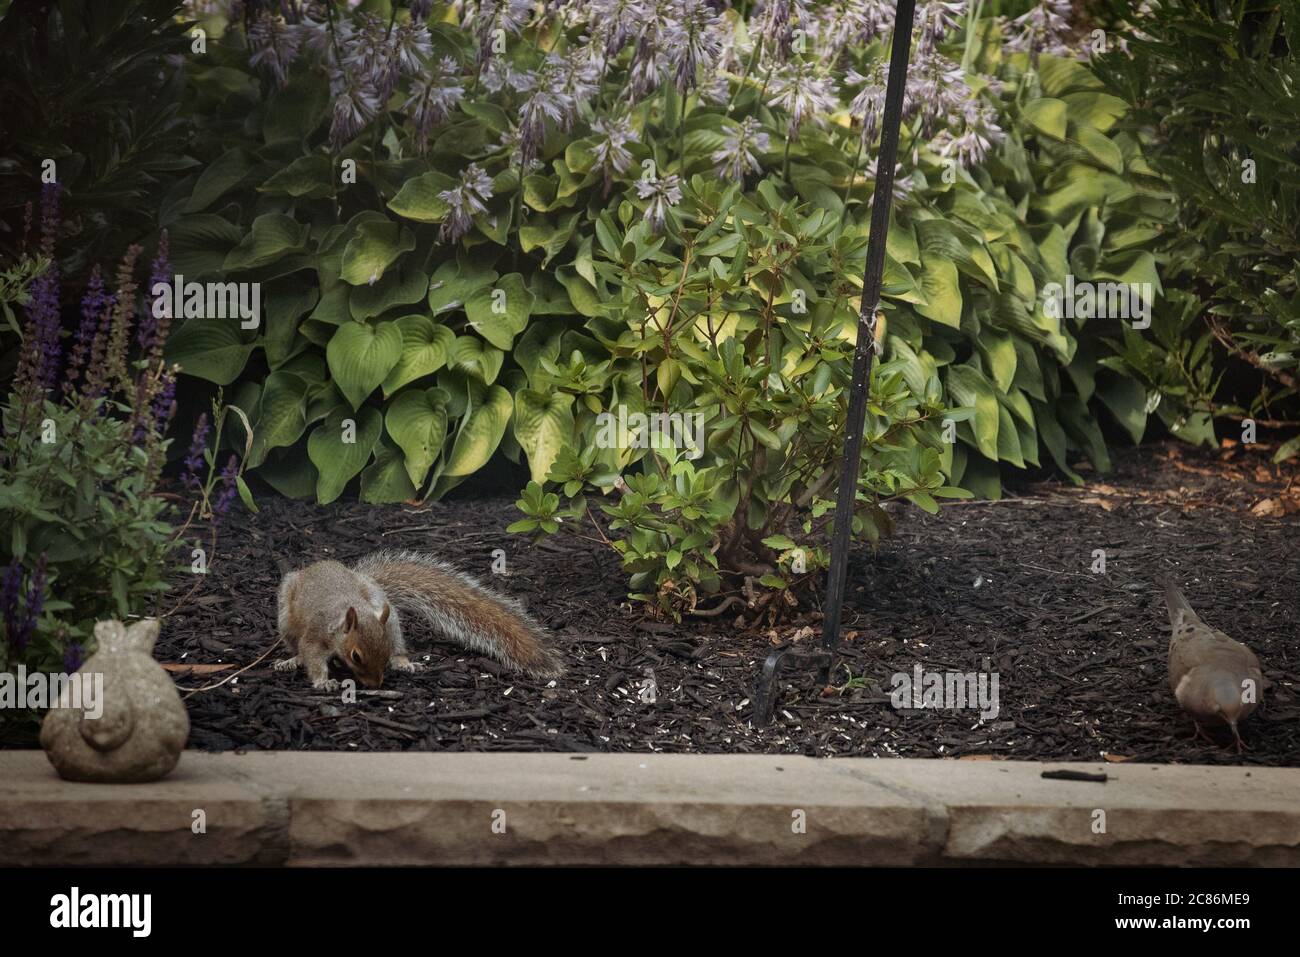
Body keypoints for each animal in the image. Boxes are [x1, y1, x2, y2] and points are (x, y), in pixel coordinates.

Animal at [273, 550, 563, 690]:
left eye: (384, 651)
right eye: (356, 656)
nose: (375, 685)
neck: (348, 611)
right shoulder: (315, 635)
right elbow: (312, 656)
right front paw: (323, 681)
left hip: (388, 615)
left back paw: (404, 662)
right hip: (286, 618)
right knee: (294, 644)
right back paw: (291, 660)